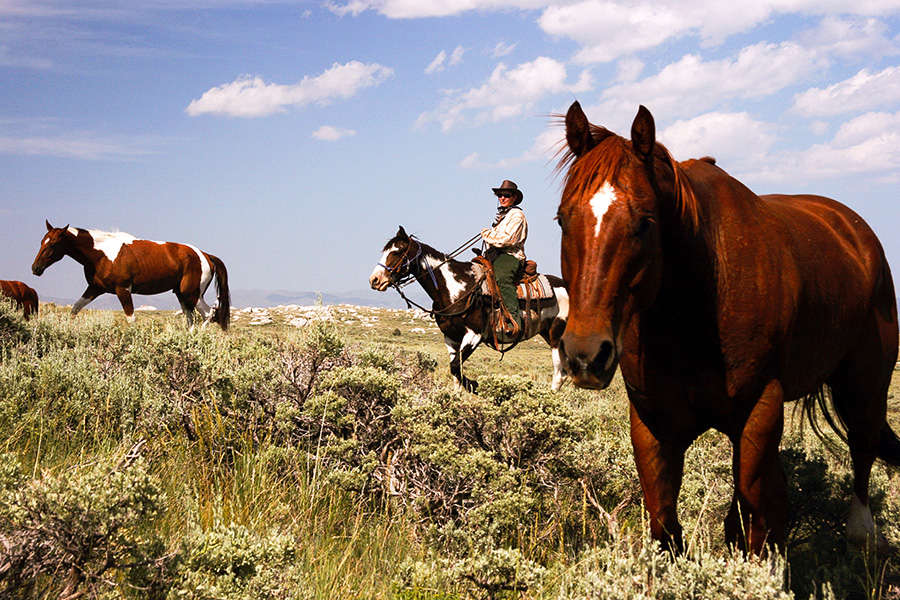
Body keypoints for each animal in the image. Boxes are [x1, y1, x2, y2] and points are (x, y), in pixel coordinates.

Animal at [31, 221, 230, 330]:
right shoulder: (94, 289)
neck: (102, 253)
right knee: (193, 320)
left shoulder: (123, 290)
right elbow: (75, 309)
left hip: (192, 294)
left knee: (209, 315)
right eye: (42, 241)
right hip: (183, 295)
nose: (35, 268)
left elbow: (131, 319)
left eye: (53, 244)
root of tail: (205, 255)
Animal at [369, 226, 569, 392]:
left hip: (556, 337)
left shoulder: (475, 335)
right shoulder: (451, 338)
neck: (456, 288)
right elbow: (455, 373)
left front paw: (474, 384)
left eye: (397, 251)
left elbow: (456, 368)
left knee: (559, 374)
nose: (374, 280)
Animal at [554, 101, 900, 556]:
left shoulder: (759, 409)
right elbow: (667, 521)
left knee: (862, 446)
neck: (690, 315)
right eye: (562, 219)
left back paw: (861, 534)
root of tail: (856, 231)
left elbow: (756, 514)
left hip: (865, 382)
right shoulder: (653, 423)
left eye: (645, 221)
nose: (585, 355)